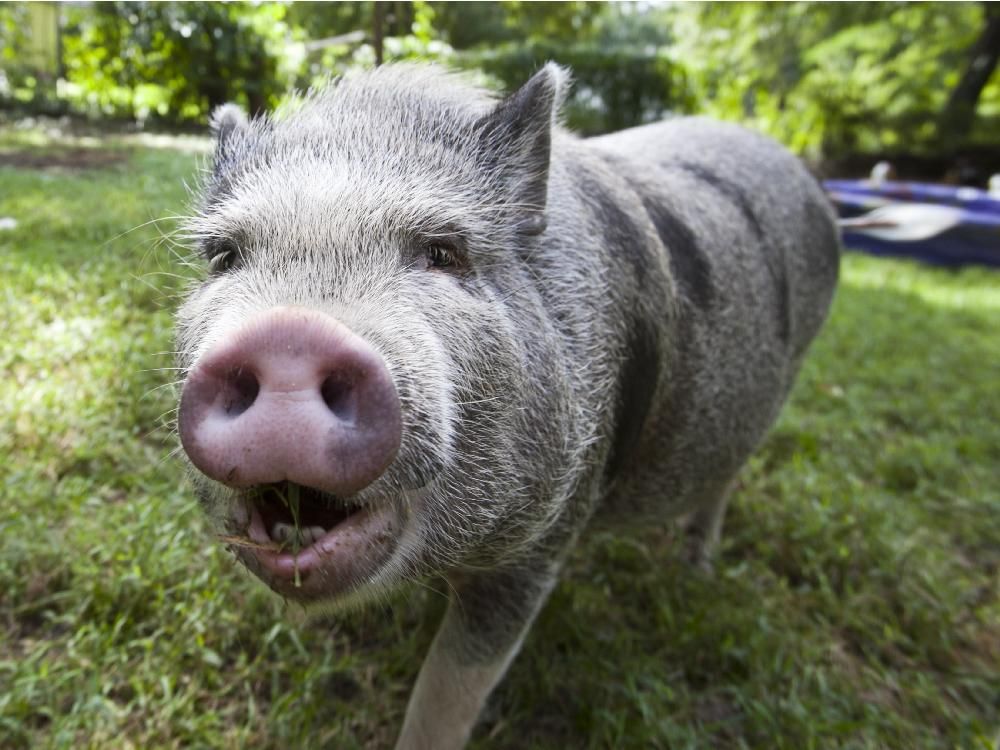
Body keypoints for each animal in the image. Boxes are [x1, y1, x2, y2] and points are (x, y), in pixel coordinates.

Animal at [174, 63, 840, 749]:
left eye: (444, 253)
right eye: (225, 257)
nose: (289, 332)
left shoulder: (543, 538)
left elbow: (450, 690)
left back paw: (698, 567)